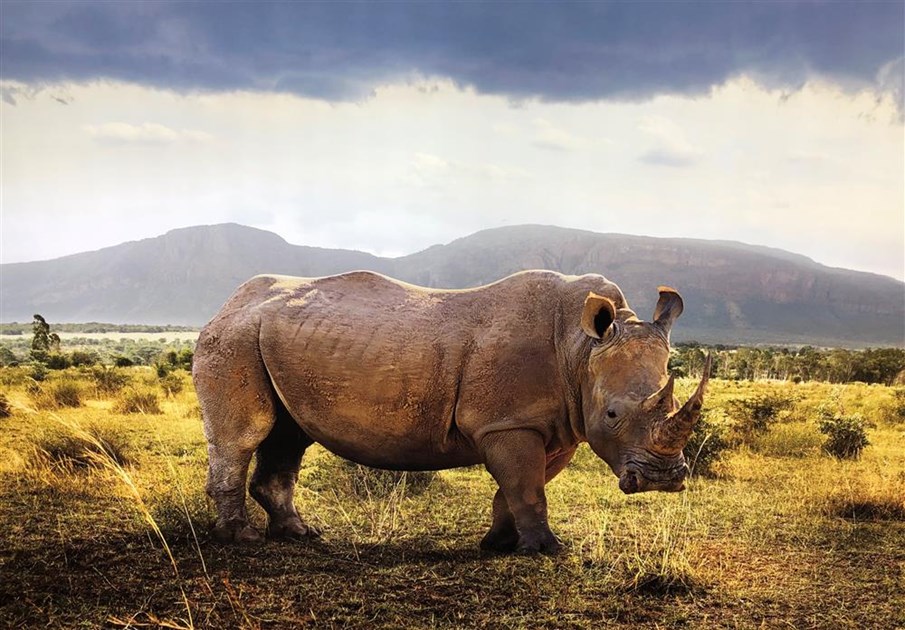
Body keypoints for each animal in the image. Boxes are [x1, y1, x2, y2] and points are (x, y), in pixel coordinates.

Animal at [193, 270, 710, 553]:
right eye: (613, 415)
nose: (663, 480)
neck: (581, 350)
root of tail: (227, 303)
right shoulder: (508, 422)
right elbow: (526, 486)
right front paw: (546, 550)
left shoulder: (559, 423)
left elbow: (524, 486)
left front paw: (500, 545)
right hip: (233, 337)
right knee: (247, 434)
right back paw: (241, 538)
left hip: (277, 341)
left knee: (289, 435)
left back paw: (300, 534)